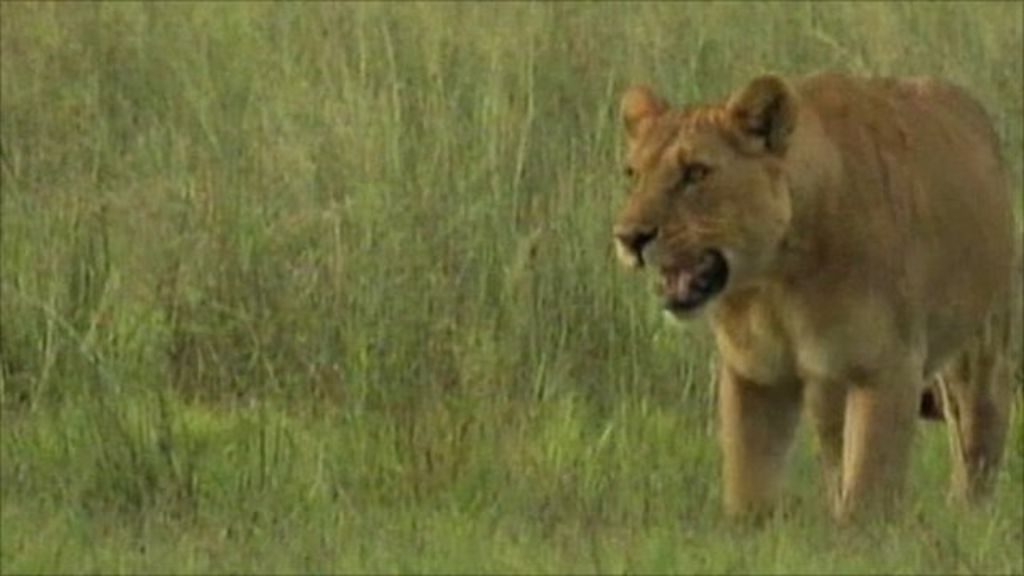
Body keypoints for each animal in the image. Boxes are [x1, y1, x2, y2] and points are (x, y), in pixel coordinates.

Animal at [613, 73, 1018, 521]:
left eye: (696, 173)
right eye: (633, 174)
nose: (628, 237)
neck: (778, 282)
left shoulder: (887, 369)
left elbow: (869, 494)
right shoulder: (755, 375)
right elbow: (748, 487)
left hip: (979, 351)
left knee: (978, 438)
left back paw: (967, 515)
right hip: (828, 392)